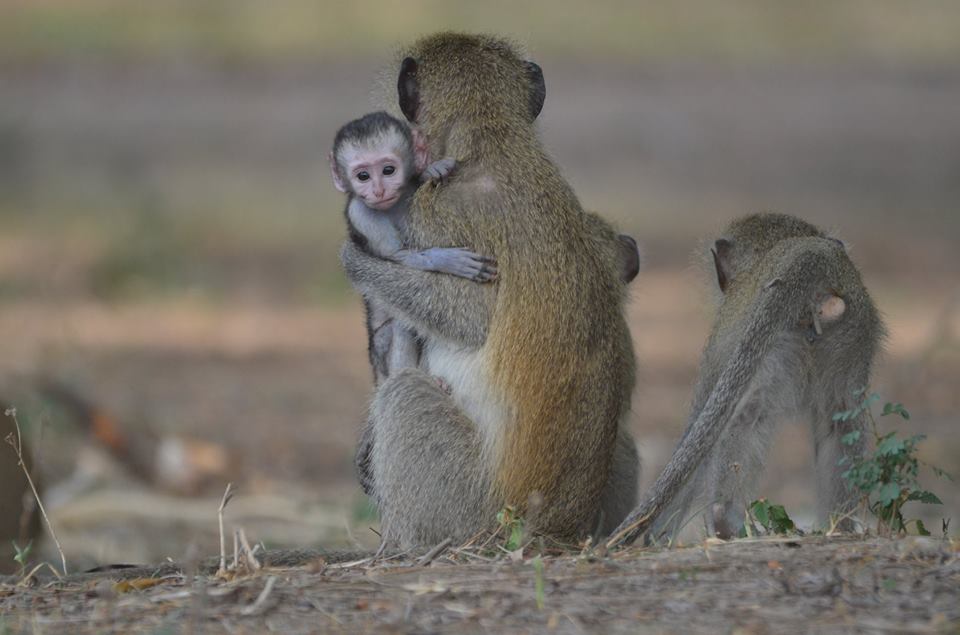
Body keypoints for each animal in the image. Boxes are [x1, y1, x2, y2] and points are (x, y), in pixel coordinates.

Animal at [331, 111, 498, 387]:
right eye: (362, 176)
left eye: (388, 170)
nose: (378, 190)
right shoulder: (361, 213)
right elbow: (396, 257)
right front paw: (447, 259)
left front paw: (432, 169)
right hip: (381, 352)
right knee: (401, 325)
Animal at [608, 212, 884, 546]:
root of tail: (812, 258)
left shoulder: (721, 345)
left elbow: (699, 442)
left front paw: (657, 535)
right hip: (849, 330)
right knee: (840, 421)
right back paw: (839, 524)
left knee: (746, 417)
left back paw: (722, 519)